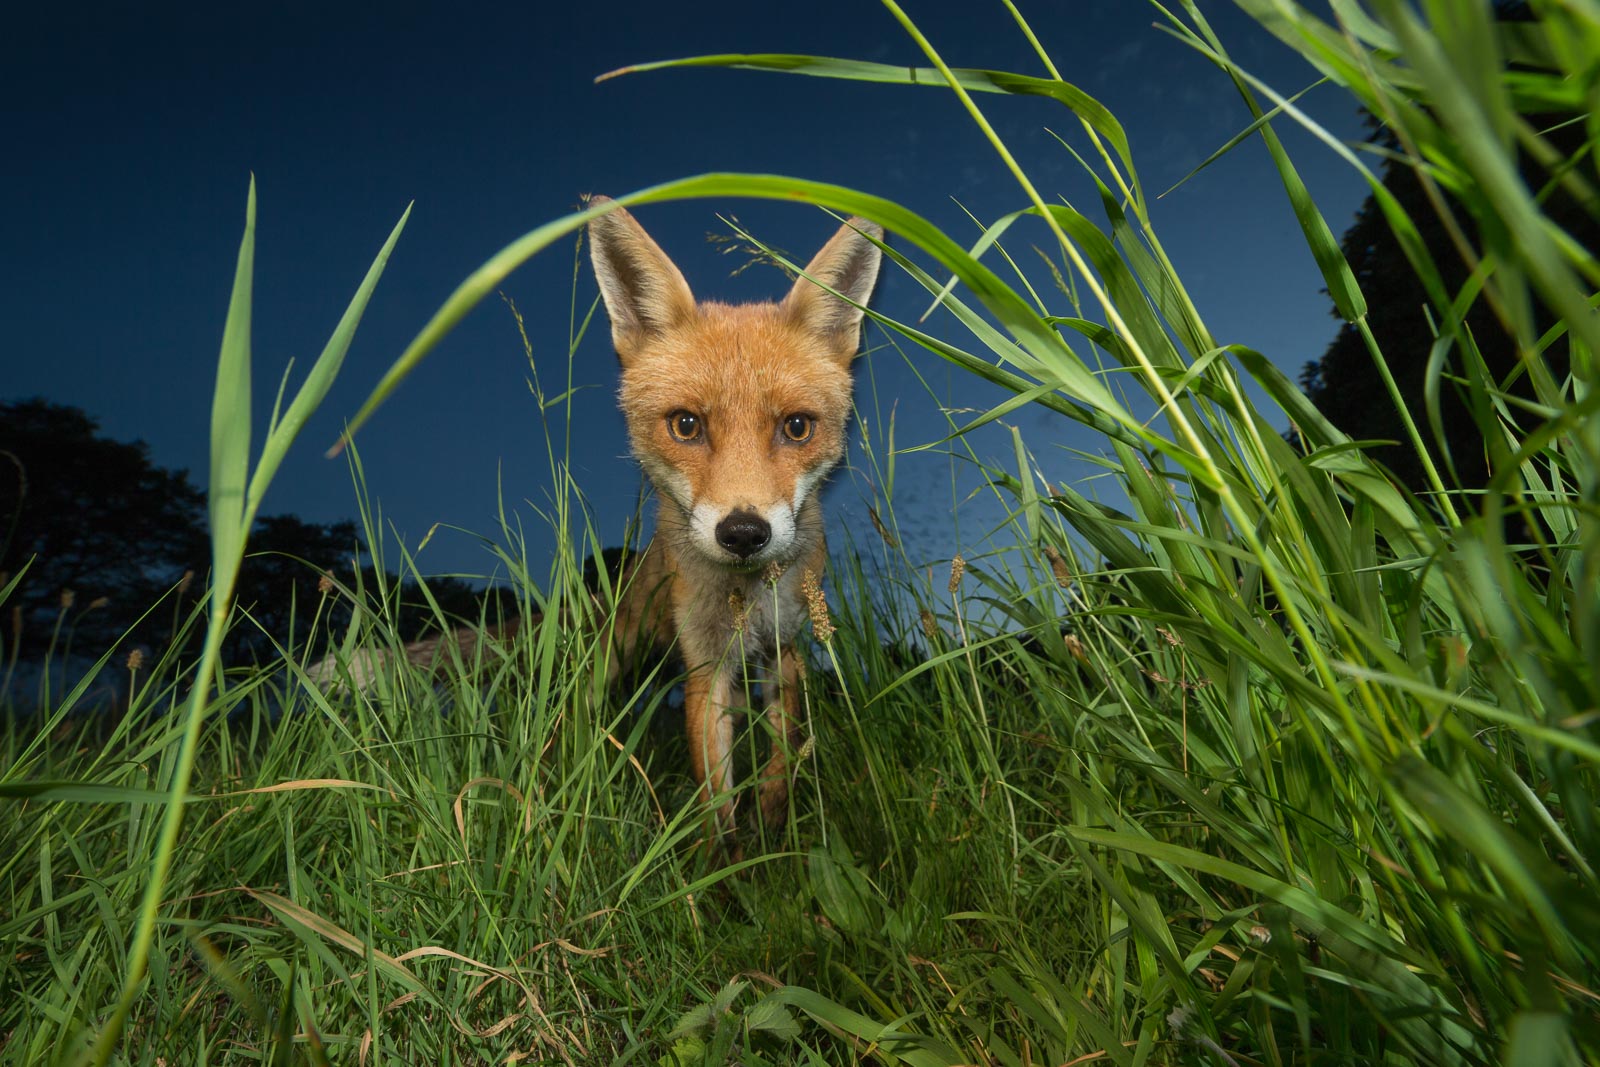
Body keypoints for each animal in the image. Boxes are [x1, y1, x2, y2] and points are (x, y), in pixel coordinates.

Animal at [316, 200, 882, 842]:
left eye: (797, 428)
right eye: (686, 425)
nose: (743, 534)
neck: (746, 596)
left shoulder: (785, 652)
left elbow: (780, 769)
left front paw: (773, 839)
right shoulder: (707, 666)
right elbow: (716, 808)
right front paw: (729, 865)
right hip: (608, 666)